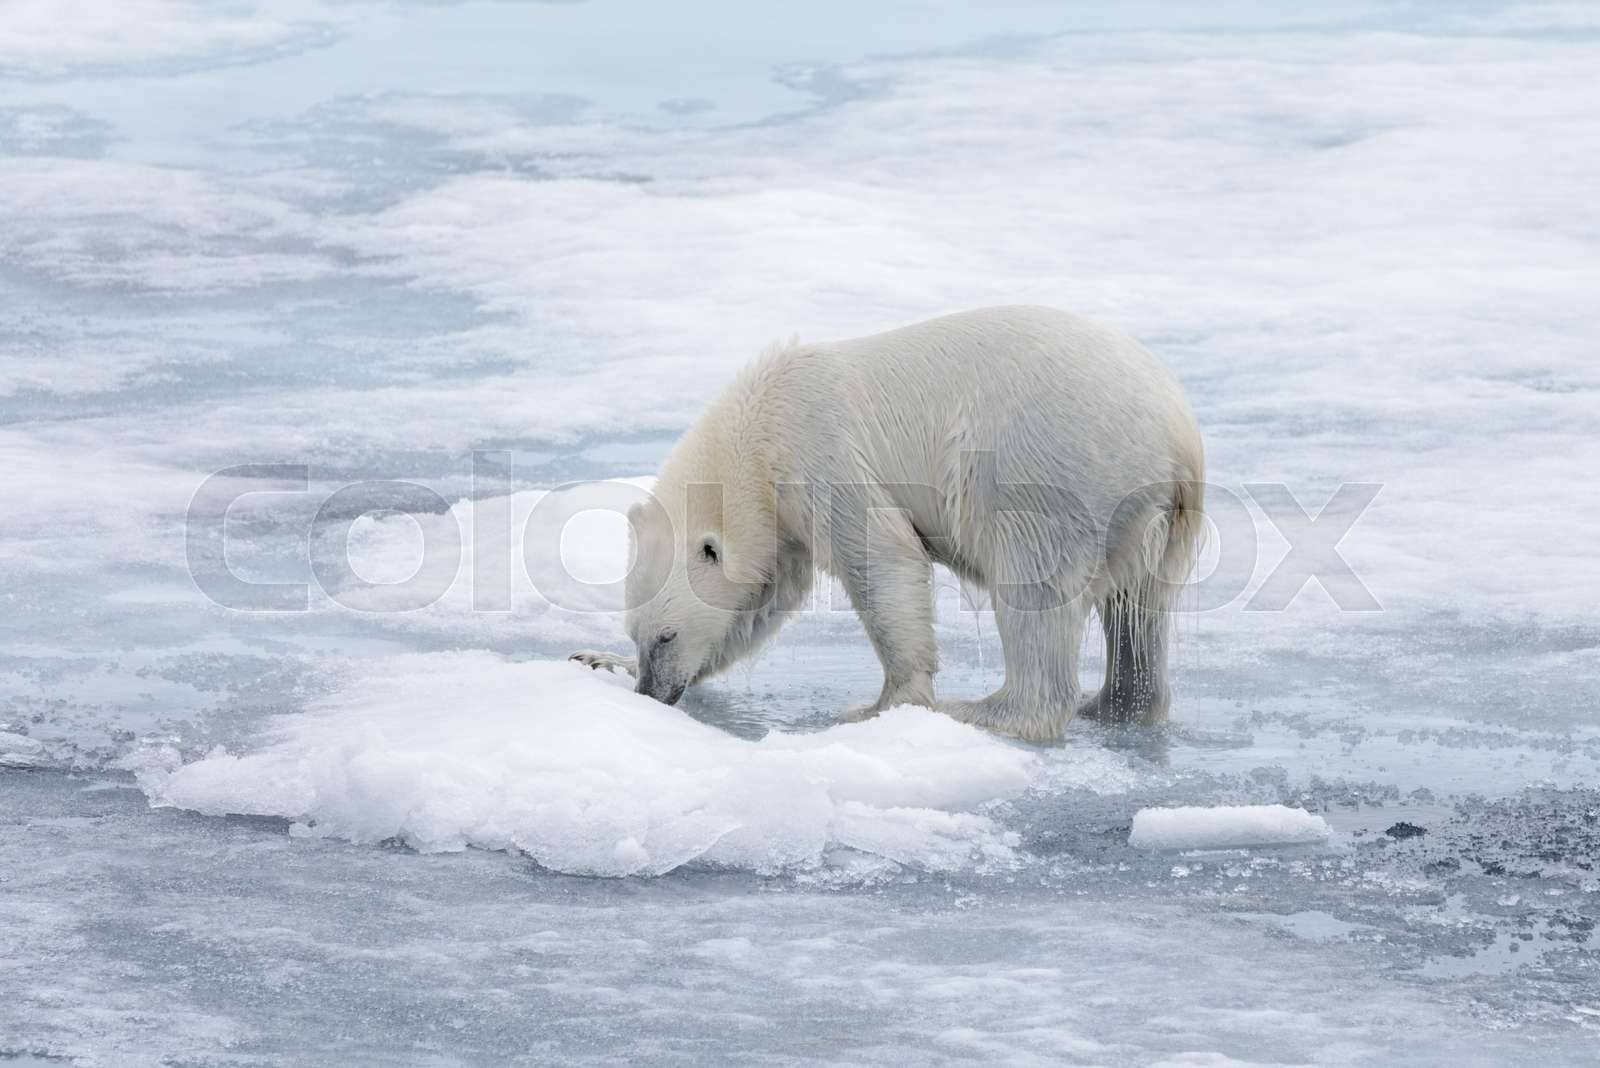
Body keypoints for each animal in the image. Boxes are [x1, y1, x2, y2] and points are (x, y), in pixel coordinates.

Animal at [571, 305, 1204, 742]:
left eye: (667, 635)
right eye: (638, 633)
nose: (653, 693)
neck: (756, 429)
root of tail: (1178, 437)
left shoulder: (818, 454)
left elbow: (884, 557)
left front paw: (882, 705)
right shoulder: (783, 518)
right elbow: (762, 603)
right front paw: (597, 659)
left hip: (1047, 465)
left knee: (1034, 586)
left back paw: (983, 709)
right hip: (1154, 519)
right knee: (1139, 605)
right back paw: (1115, 703)